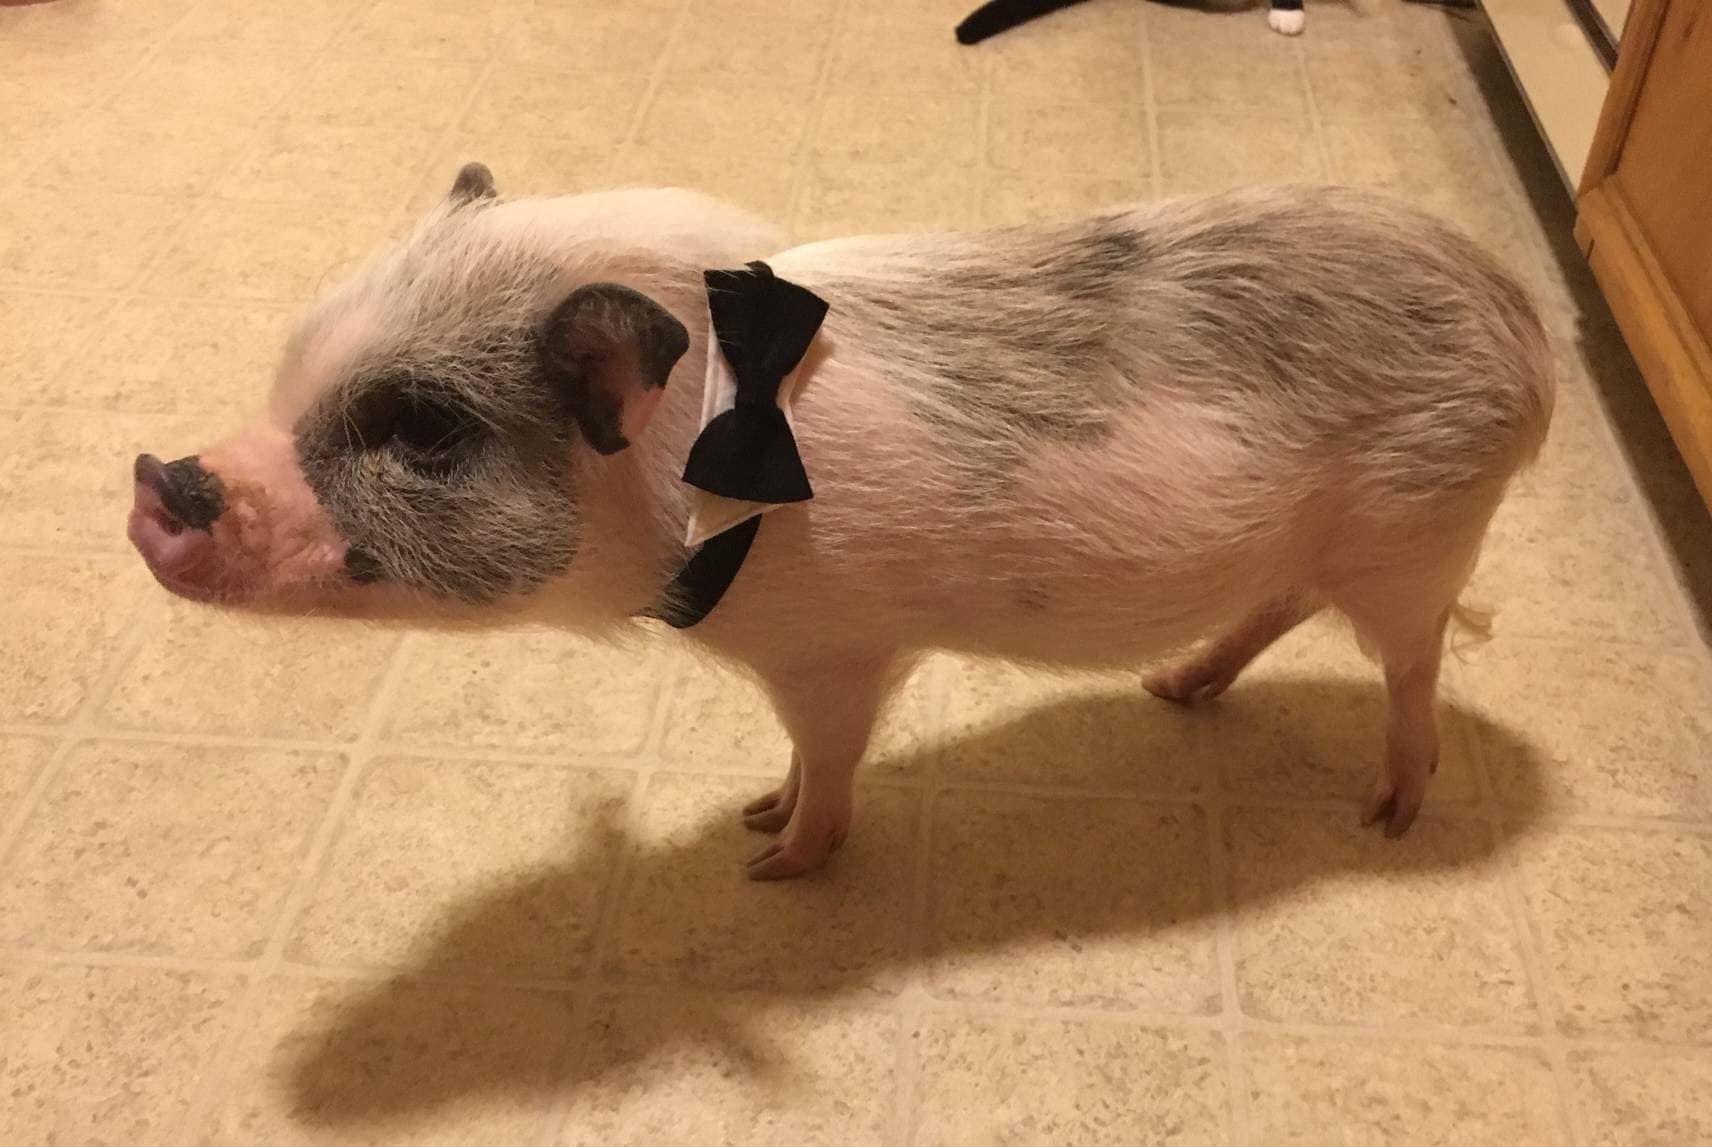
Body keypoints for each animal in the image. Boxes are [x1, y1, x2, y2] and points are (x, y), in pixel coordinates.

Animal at [128, 166, 1554, 879]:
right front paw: (753, 815)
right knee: (1284, 604)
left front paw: (773, 863)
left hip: (1417, 532)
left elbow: (832, 758)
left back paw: (1384, 816)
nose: (156, 481)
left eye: (421, 430)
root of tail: (1523, 332)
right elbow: (799, 757)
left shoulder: (833, 649)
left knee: (1410, 662)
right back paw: (1174, 689)